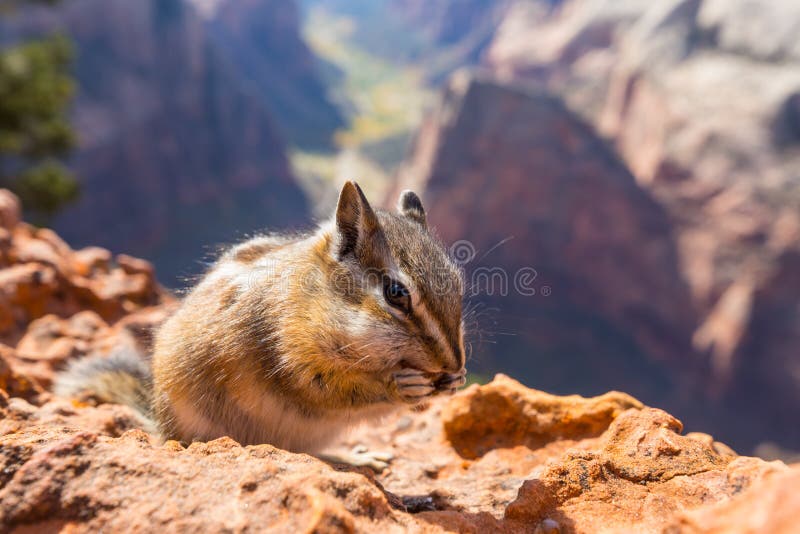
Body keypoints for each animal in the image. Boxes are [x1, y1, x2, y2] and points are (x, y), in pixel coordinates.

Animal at [55, 182, 467, 469]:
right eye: (396, 294)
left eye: (458, 281)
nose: (454, 365)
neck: (317, 300)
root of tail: (159, 423)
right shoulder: (287, 353)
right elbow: (328, 389)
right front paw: (400, 385)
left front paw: (453, 383)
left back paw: (357, 457)